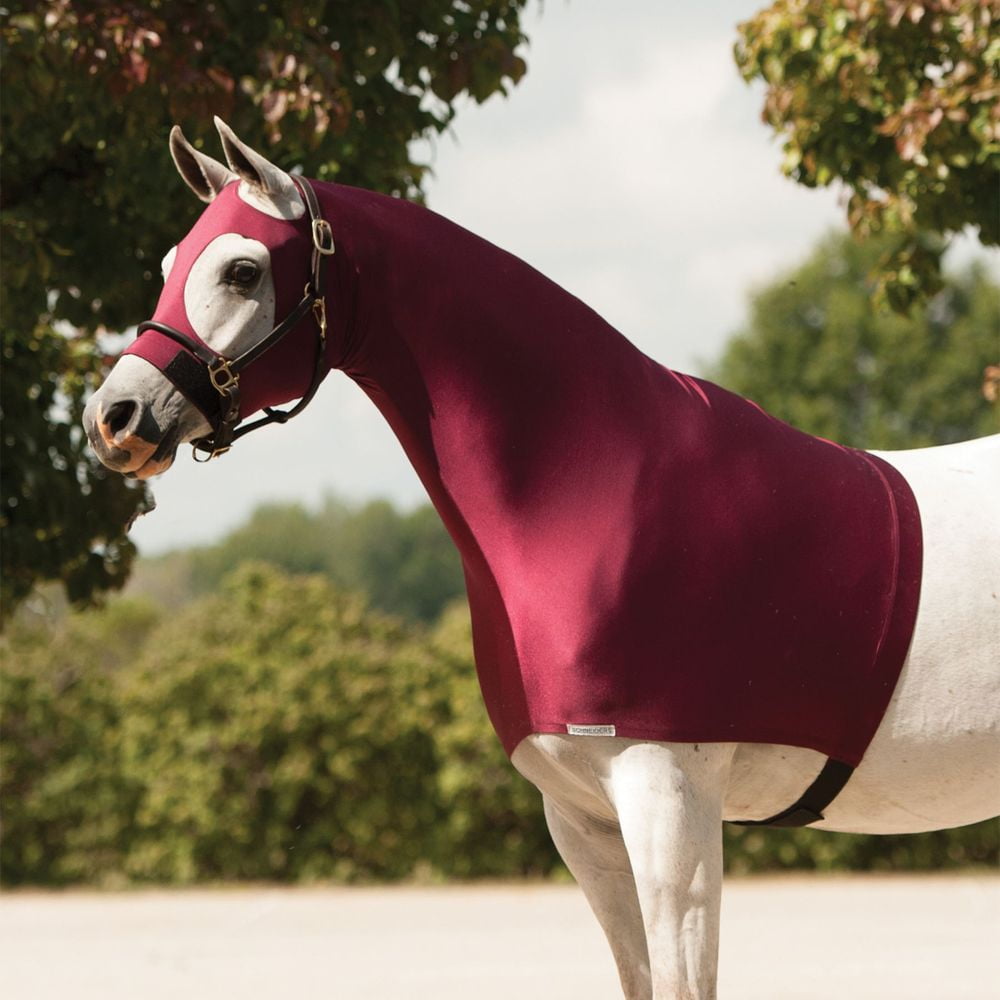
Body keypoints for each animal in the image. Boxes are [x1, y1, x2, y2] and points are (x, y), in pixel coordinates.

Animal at [83, 118, 999, 1000]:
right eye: (168, 264)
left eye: (241, 270)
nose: (116, 417)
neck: (596, 491)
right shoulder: (582, 817)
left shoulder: (670, 801)